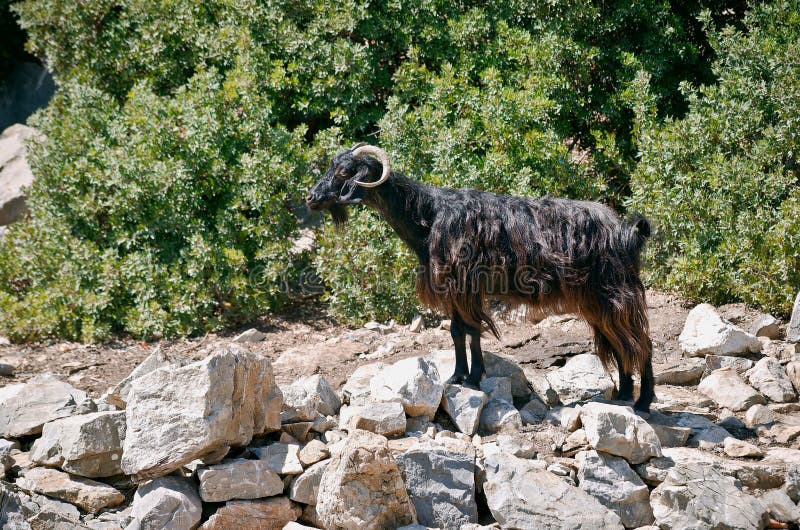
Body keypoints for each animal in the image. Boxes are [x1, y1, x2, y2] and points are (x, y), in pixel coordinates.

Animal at [306, 144, 655, 411]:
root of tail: (627, 232)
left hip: (616, 292)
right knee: (621, 342)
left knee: (641, 342)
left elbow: (472, 330)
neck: (428, 214)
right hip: (597, 302)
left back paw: (643, 402)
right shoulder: (455, 290)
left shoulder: (466, 286)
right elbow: (458, 332)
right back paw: (624, 395)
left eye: (345, 172)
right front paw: (457, 376)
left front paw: (473, 378)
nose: (310, 198)